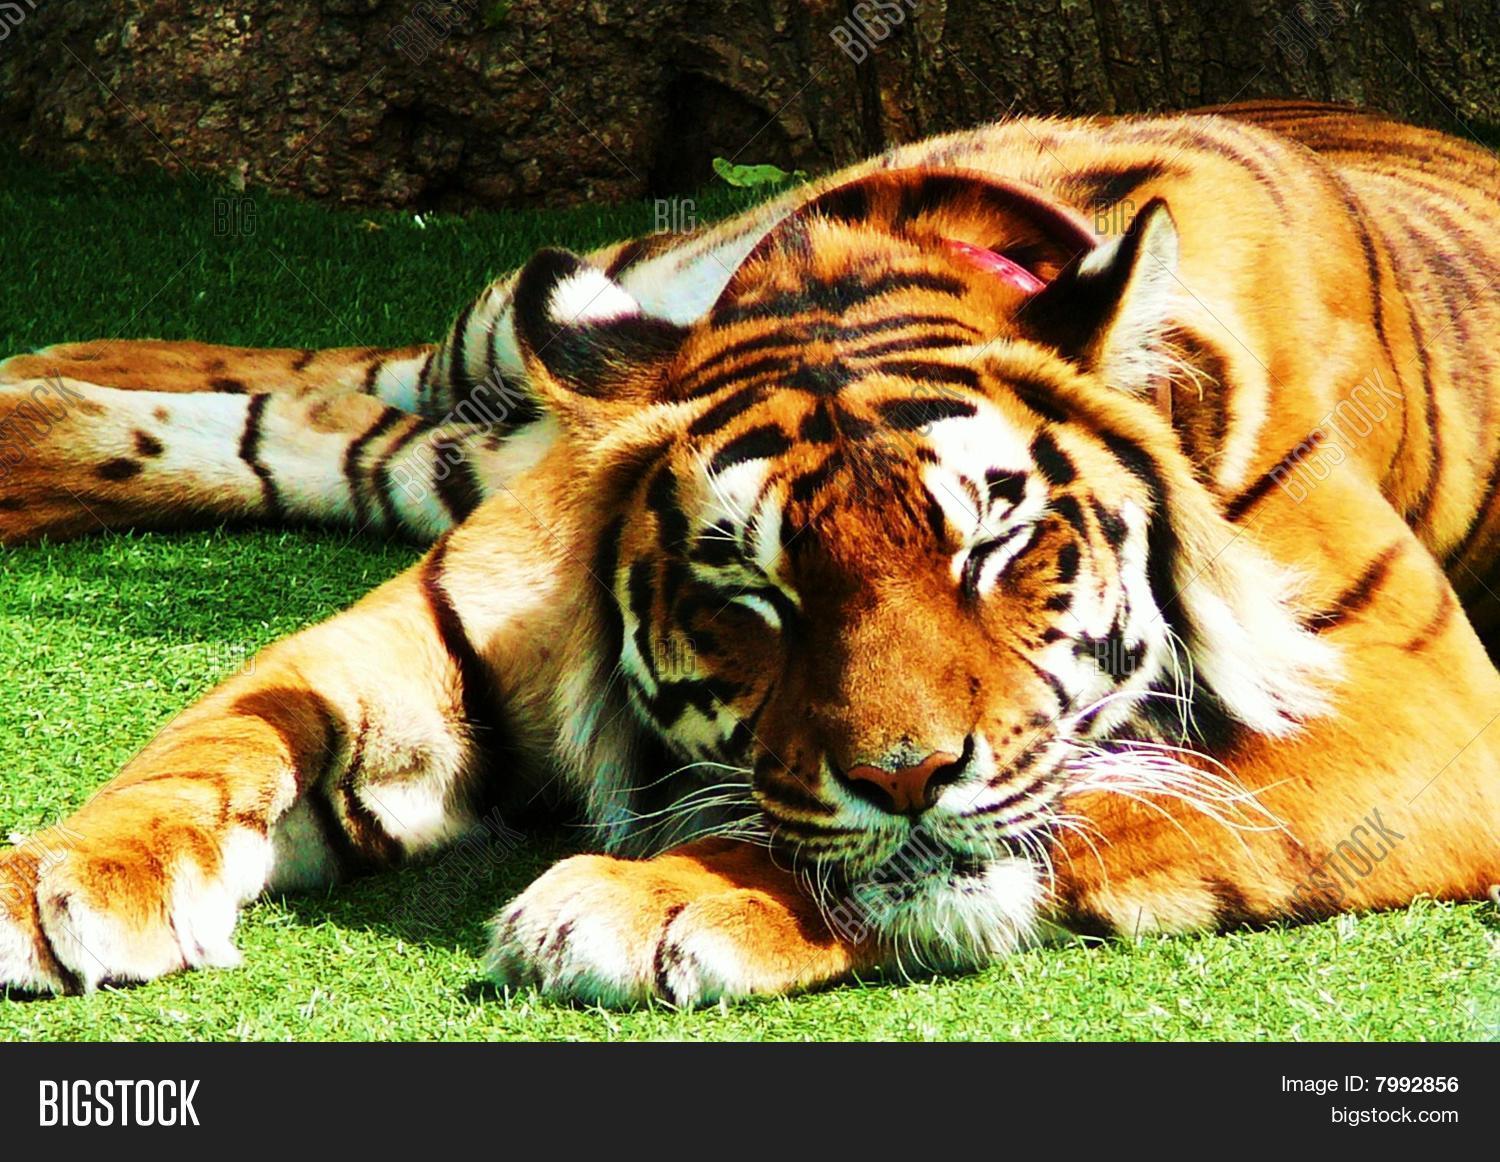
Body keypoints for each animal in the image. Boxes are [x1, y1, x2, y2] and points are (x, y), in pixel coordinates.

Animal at [1, 100, 1497, 1007]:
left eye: (995, 549)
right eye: (753, 592)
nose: (906, 777)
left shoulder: (1419, 710)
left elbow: (1114, 794)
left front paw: (658, 900)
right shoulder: (454, 607)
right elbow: (226, 730)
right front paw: (63, 879)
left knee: (327, 423)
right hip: (549, 314)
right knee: (334, 380)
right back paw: (36, 381)